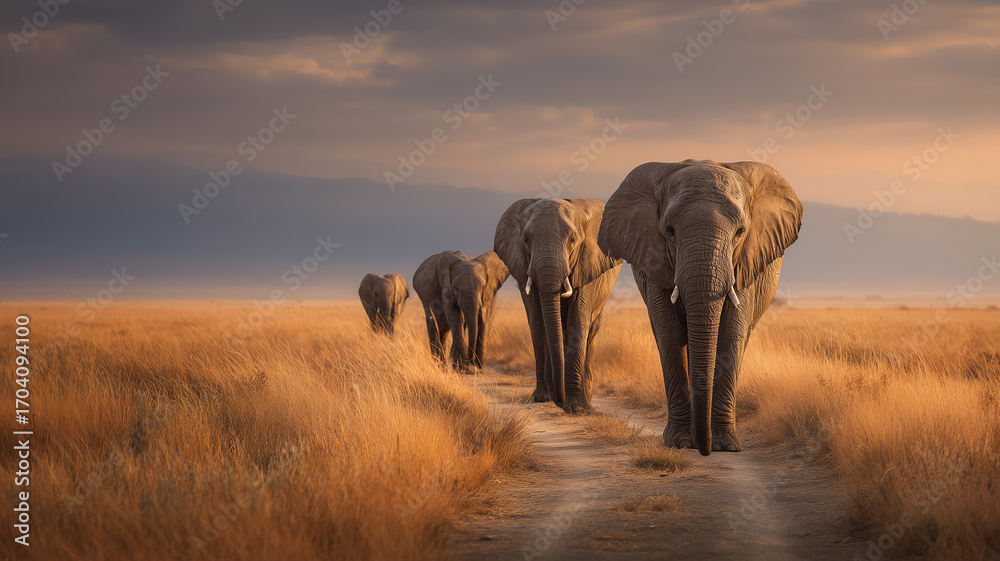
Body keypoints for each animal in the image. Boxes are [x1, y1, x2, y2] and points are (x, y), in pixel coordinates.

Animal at [494, 198, 622, 414]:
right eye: (526, 240)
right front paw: (542, 398)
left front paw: (576, 408)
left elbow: (577, 321)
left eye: (572, 240)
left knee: (591, 332)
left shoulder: (586, 266)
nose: (558, 401)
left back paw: (586, 404)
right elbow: (537, 323)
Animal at [597, 160, 802, 455]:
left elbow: (730, 337)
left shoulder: (744, 264)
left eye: (740, 232)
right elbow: (669, 336)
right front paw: (680, 443)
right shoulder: (655, 261)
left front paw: (726, 445)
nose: (705, 450)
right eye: (669, 231)